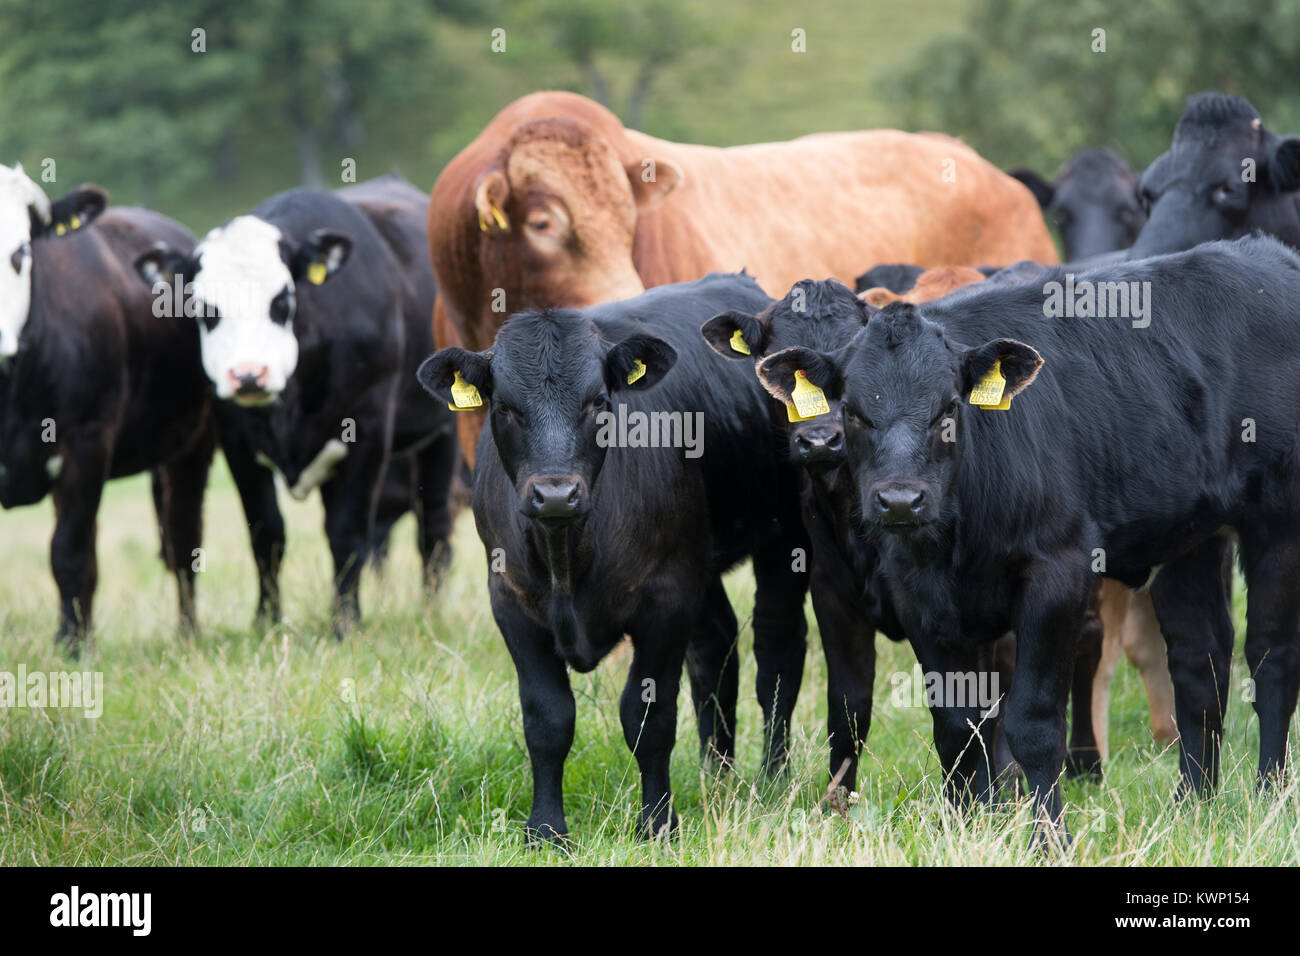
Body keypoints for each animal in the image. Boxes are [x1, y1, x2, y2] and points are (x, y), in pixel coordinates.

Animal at [0, 163, 214, 653]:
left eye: (20, 251)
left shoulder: (87, 442)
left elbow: (68, 554)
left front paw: (71, 647)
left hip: (193, 446)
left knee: (182, 541)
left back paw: (186, 634)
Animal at [134, 175, 458, 636]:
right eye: (204, 308)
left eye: (282, 300)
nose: (248, 374)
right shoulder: (238, 442)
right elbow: (266, 533)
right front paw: (266, 621)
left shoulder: (368, 432)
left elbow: (347, 531)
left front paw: (346, 624)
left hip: (441, 434)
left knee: (433, 523)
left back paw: (430, 609)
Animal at [417, 273, 810, 841]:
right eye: (504, 406)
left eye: (599, 402)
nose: (555, 494)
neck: (566, 555)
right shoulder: (510, 600)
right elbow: (547, 718)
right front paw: (546, 830)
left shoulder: (666, 600)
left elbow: (649, 717)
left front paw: (658, 822)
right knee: (716, 646)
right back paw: (717, 774)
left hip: (782, 540)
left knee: (778, 652)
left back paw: (773, 777)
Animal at [755, 236, 1300, 842]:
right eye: (851, 411)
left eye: (949, 408)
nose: (899, 500)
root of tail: (1265, 255)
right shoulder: (918, 595)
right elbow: (956, 723)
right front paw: (964, 827)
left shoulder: (1055, 574)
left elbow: (1034, 723)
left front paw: (1048, 837)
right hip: (1192, 539)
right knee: (1198, 660)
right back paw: (1192, 804)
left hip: (1277, 523)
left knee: (1272, 658)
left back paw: (1270, 796)